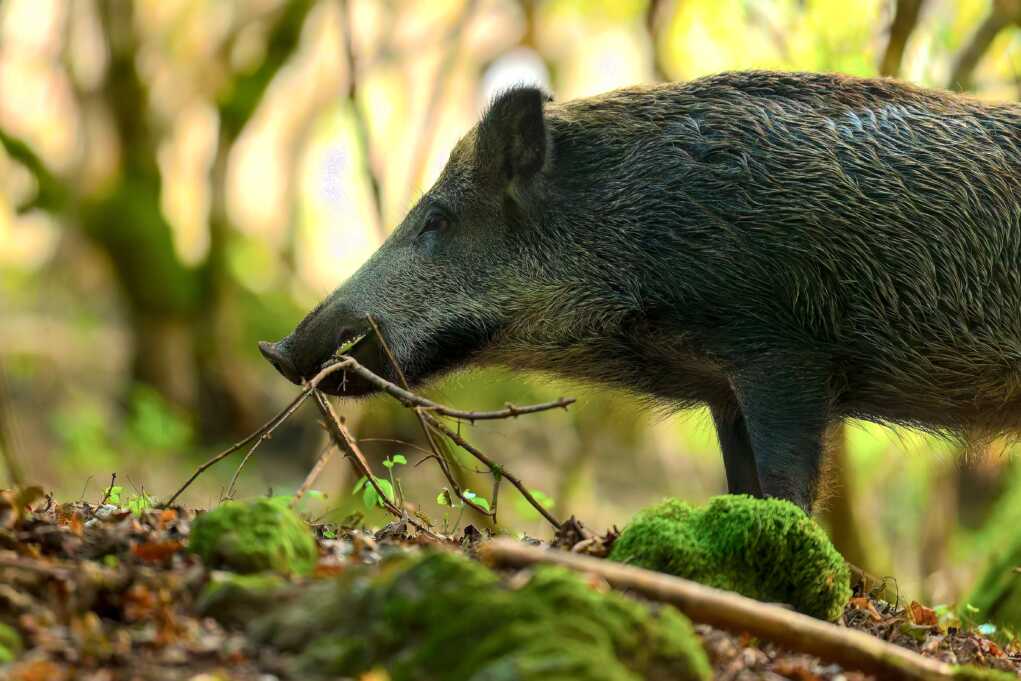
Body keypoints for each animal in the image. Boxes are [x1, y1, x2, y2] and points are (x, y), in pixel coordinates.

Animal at [259, 70, 1021, 511]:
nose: (278, 348)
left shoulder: (783, 351)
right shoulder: (722, 385)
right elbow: (741, 484)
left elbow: (787, 488)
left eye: (436, 220)